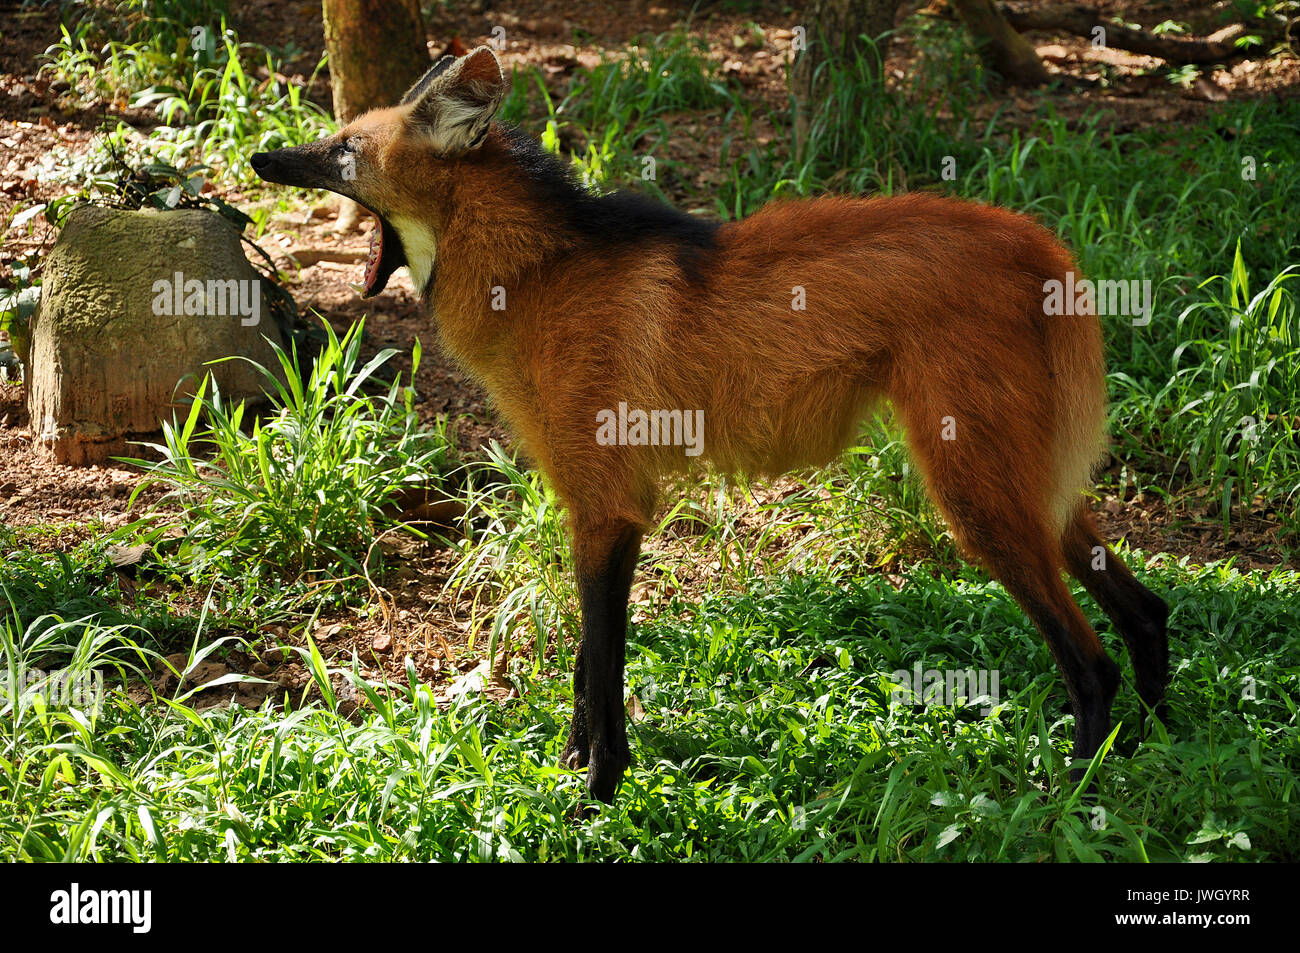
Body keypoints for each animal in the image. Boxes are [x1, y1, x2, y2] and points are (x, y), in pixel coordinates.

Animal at [252, 46, 1171, 804]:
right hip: (1018, 468)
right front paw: (570, 767)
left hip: (971, 487)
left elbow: (601, 663)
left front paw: (596, 794)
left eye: (343, 150)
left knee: (1090, 661)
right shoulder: (600, 500)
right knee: (1144, 607)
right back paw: (1160, 744)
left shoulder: (607, 503)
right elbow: (588, 660)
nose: (262, 156)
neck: (539, 270)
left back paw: (1075, 790)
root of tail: (1042, 244)